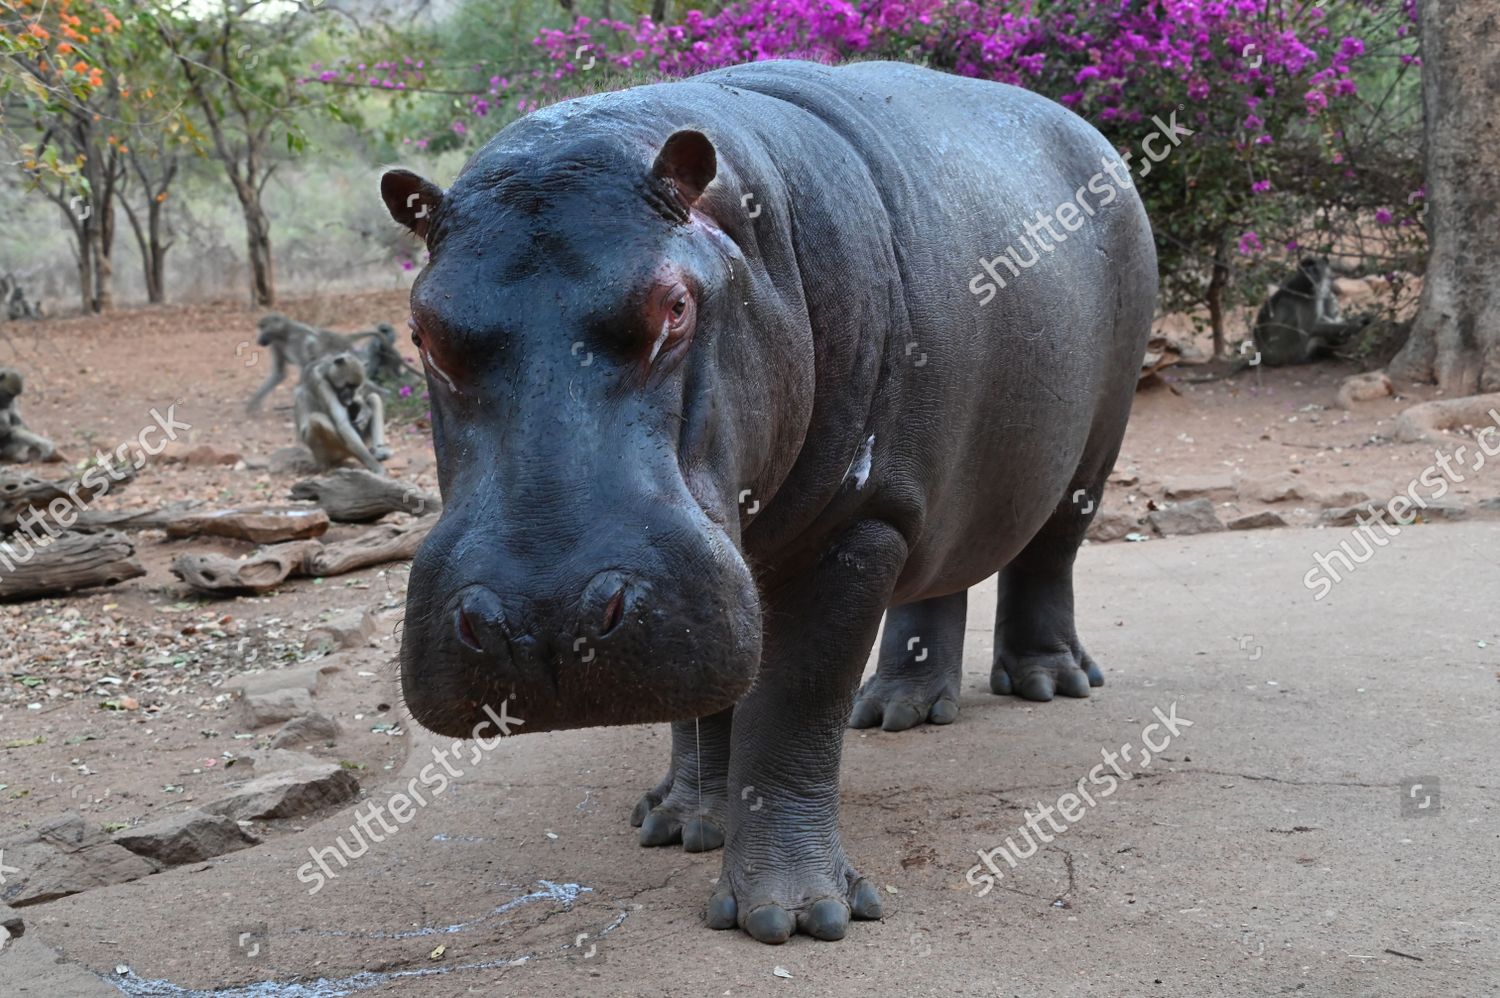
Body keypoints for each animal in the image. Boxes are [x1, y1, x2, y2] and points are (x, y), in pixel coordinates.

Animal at [382, 59, 1156, 945]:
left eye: (676, 306)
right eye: (422, 332)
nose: (541, 619)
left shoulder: (858, 526)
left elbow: (794, 704)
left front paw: (795, 914)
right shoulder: (719, 567)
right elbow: (702, 701)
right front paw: (680, 823)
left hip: (1093, 441)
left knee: (1050, 552)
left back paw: (1049, 682)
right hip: (941, 478)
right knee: (942, 569)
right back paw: (896, 710)